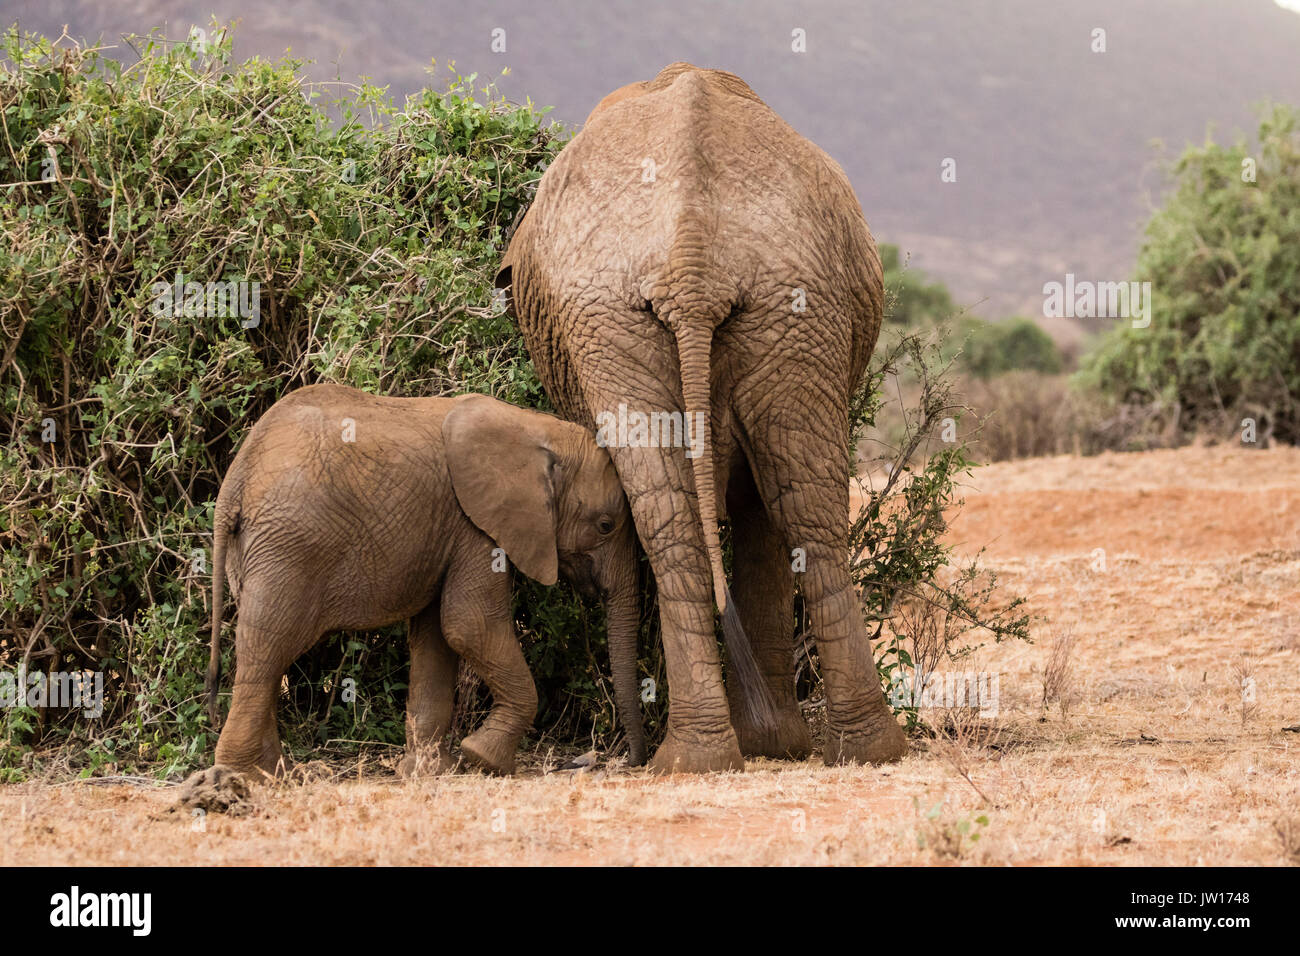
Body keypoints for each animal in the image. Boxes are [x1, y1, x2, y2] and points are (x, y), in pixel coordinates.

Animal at [203, 384, 645, 777]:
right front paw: (483, 759)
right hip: (289, 547)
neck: (538, 430)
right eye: (605, 525)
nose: (632, 761)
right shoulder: (474, 527)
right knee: (268, 647)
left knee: (264, 649)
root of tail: (234, 484)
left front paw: (429, 772)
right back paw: (246, 776)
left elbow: (437, 637)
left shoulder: (449, 531)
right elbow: (470, 625)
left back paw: (279, 775)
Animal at [494, 62, 908, 773]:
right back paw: (838, 749)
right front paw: (773, 744)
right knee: (799, 503)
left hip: (724, 306)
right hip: (775, 306)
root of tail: (693, 260)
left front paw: (771, 743)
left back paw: (714, 753)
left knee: (715, 509)